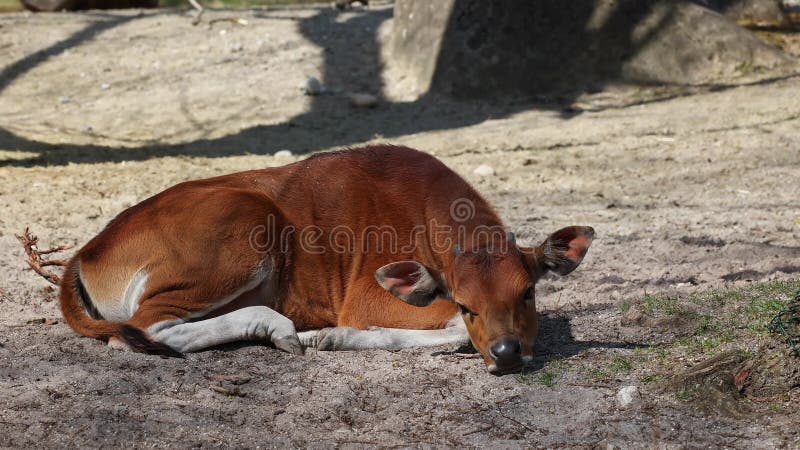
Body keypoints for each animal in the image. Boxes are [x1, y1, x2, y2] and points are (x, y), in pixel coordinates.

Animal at [58, 145, 593, 374]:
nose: (508, 353)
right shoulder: (368, 300)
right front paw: (330, 337)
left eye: (528, 293)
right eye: (466, 304)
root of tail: (88, 251)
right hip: (248, 227)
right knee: (140, 330)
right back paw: (279, 329)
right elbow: (454, 332)